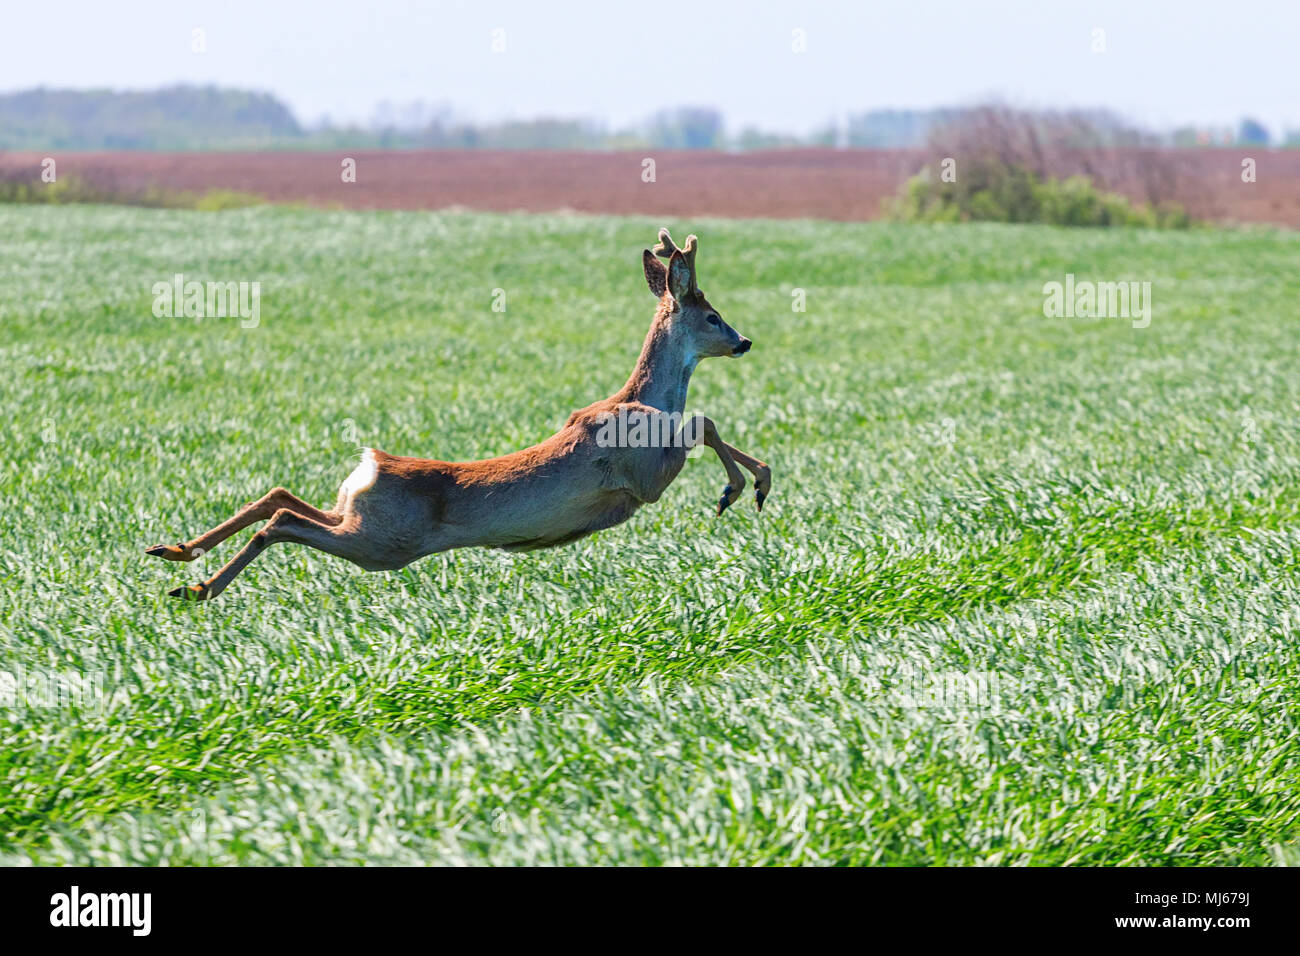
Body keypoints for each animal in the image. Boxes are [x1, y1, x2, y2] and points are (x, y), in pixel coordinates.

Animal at [147, 228, 772, 601]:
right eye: (712, 315)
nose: (744, 341)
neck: (648, 399)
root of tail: (369, 465)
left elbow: (704, 423)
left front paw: (754, 484)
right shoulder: (643, 477)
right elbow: (703, 423)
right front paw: (741, 488)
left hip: (361, 521)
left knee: (280, 497)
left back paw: (176, 556)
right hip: (382, 543)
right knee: (282, 520)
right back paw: (198, 587)